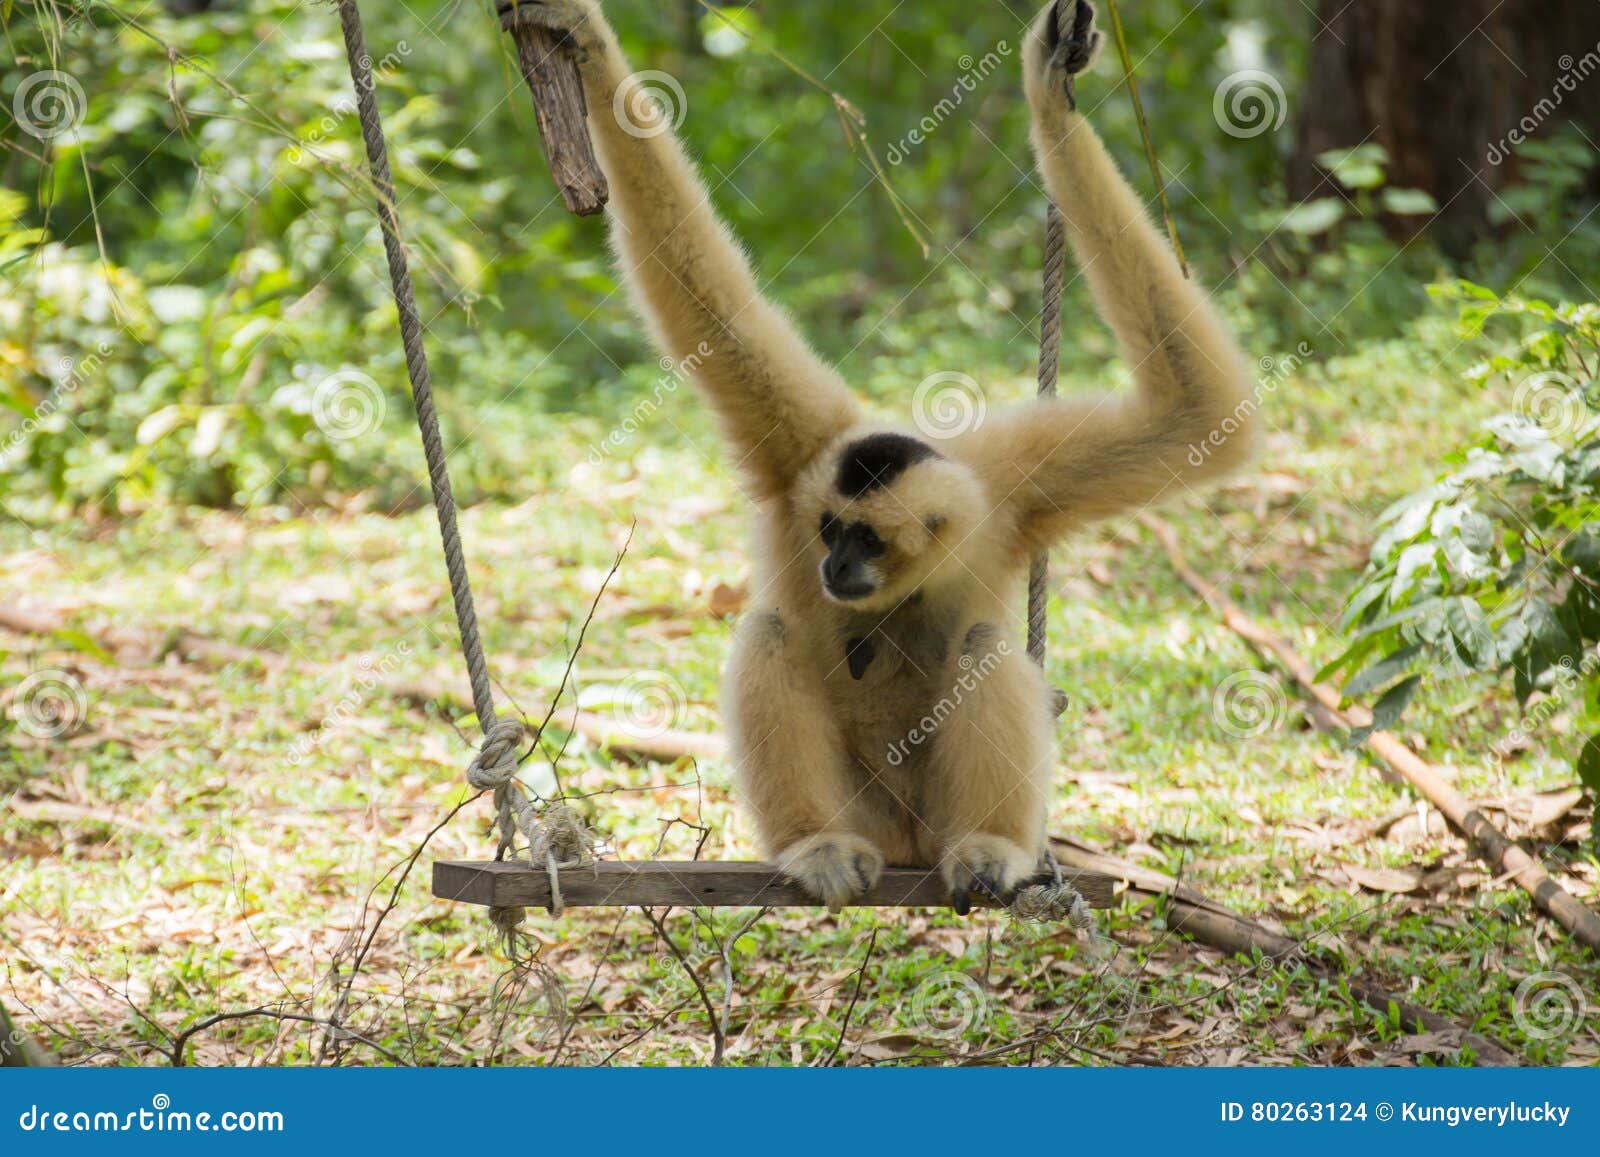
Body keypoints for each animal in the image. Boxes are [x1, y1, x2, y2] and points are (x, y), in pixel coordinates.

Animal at [527, 0, 1256, 910]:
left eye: (867, 538)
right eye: (829, 528)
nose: (834, 564)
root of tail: (908, 842)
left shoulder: (1012, 483)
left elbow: (1193, 414)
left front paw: (1051, 95)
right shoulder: (802, 445)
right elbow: (709, 303)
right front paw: (583, 41)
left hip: (931, 814)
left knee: (984, 646)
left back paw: (989, 849)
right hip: (869, 811)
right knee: (771, 632)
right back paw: (816, 845)